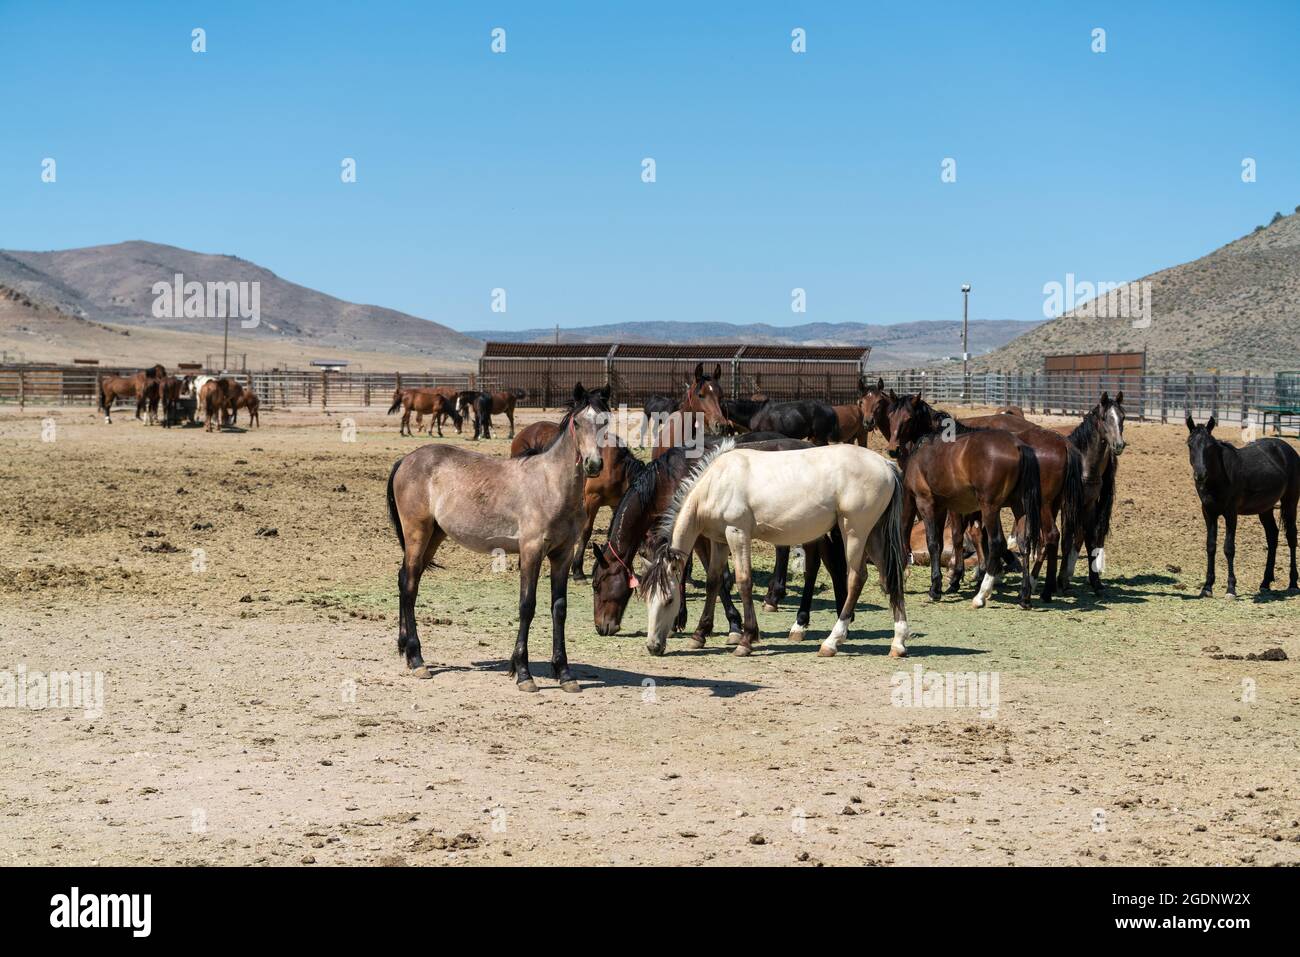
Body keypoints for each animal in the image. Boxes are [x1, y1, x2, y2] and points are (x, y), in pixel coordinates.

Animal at [387, 383, 608, 691]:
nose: (593, 464)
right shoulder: (531, 551)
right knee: (408, 586)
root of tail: (406, 459)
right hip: (417, 533)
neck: (551, 485)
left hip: (434, 536)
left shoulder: (562, 555)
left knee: (406, 579)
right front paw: (523, 672)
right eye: (577, 422)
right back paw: (418, 660)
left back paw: (406, 652)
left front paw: (564, 673)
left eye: (605, 421)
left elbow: (559, 608)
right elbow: (527, 606)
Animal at [591, 437, 848, 643]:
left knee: (814, 567)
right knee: (830, 565)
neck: (669, 480)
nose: (601, 627)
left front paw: (732, 625)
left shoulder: (702, 536)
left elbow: (716, 577)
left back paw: (801, 622)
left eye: (597, 585)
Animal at [639, 441, 908, 659]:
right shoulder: (719, 541)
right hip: (874, 535)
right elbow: (713, 581)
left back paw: (831, 642)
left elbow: (744, 581)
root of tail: (886, 464)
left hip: (854, 531)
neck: (717, 482)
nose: (653, 646)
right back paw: (898, 642)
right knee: (890, 578)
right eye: (647, 598)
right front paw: (699, 635)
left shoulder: (737, 533)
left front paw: (746, 640)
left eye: (669, 599)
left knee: (856, 578)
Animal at [884, 393, 1044, 609]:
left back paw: (982, 594)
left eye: (908, 418)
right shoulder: (942, 507)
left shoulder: (926, 502)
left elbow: (933, 542)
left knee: (996, 543)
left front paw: (936, 589)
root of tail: (1018, 446)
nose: (893, 449)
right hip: (1020, 508)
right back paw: (1024, 596)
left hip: (990, 508)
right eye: (891, 415)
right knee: (1024, 543)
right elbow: (944, 541)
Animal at [1186, 416, 1299, 598]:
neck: (1219, 478)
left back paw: (1293, 583)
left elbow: (1229, 548)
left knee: (1291, 537)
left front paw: (1231, 588)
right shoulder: (1208, 513)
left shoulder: (1231, 513)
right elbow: (1211, 546)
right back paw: (1265, 582)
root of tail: (1288, 450)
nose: (1200, 475)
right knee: (1272, 536)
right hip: (1265, 508)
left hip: (1290, 502)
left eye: (1209, 446)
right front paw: (1207, 587)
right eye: (1190, 444)